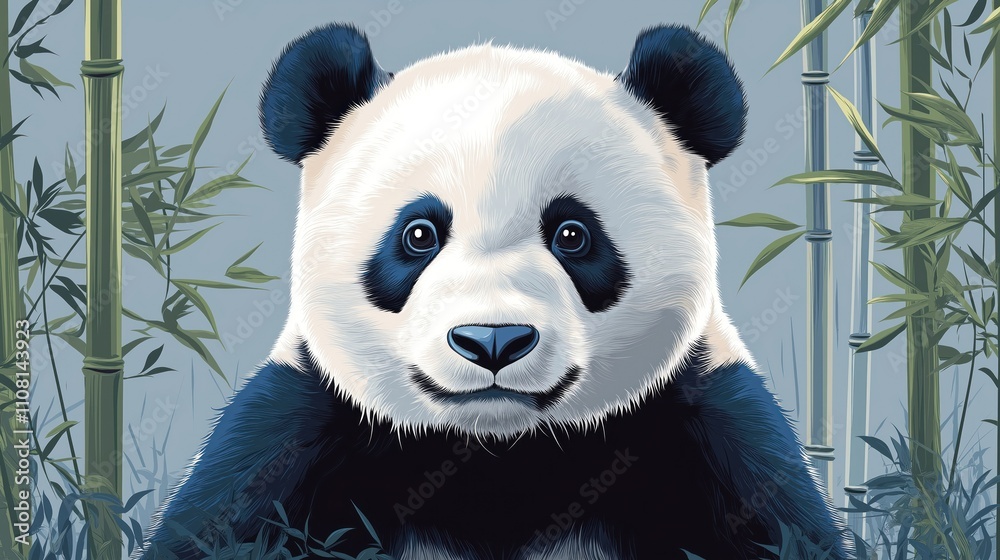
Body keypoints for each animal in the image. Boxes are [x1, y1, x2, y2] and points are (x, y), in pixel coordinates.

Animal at [141, 23, 849, 560]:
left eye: (572, 234)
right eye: (419, 234)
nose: (493, 339)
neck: (499, 455)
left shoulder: (710, 433)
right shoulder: (295, 437)